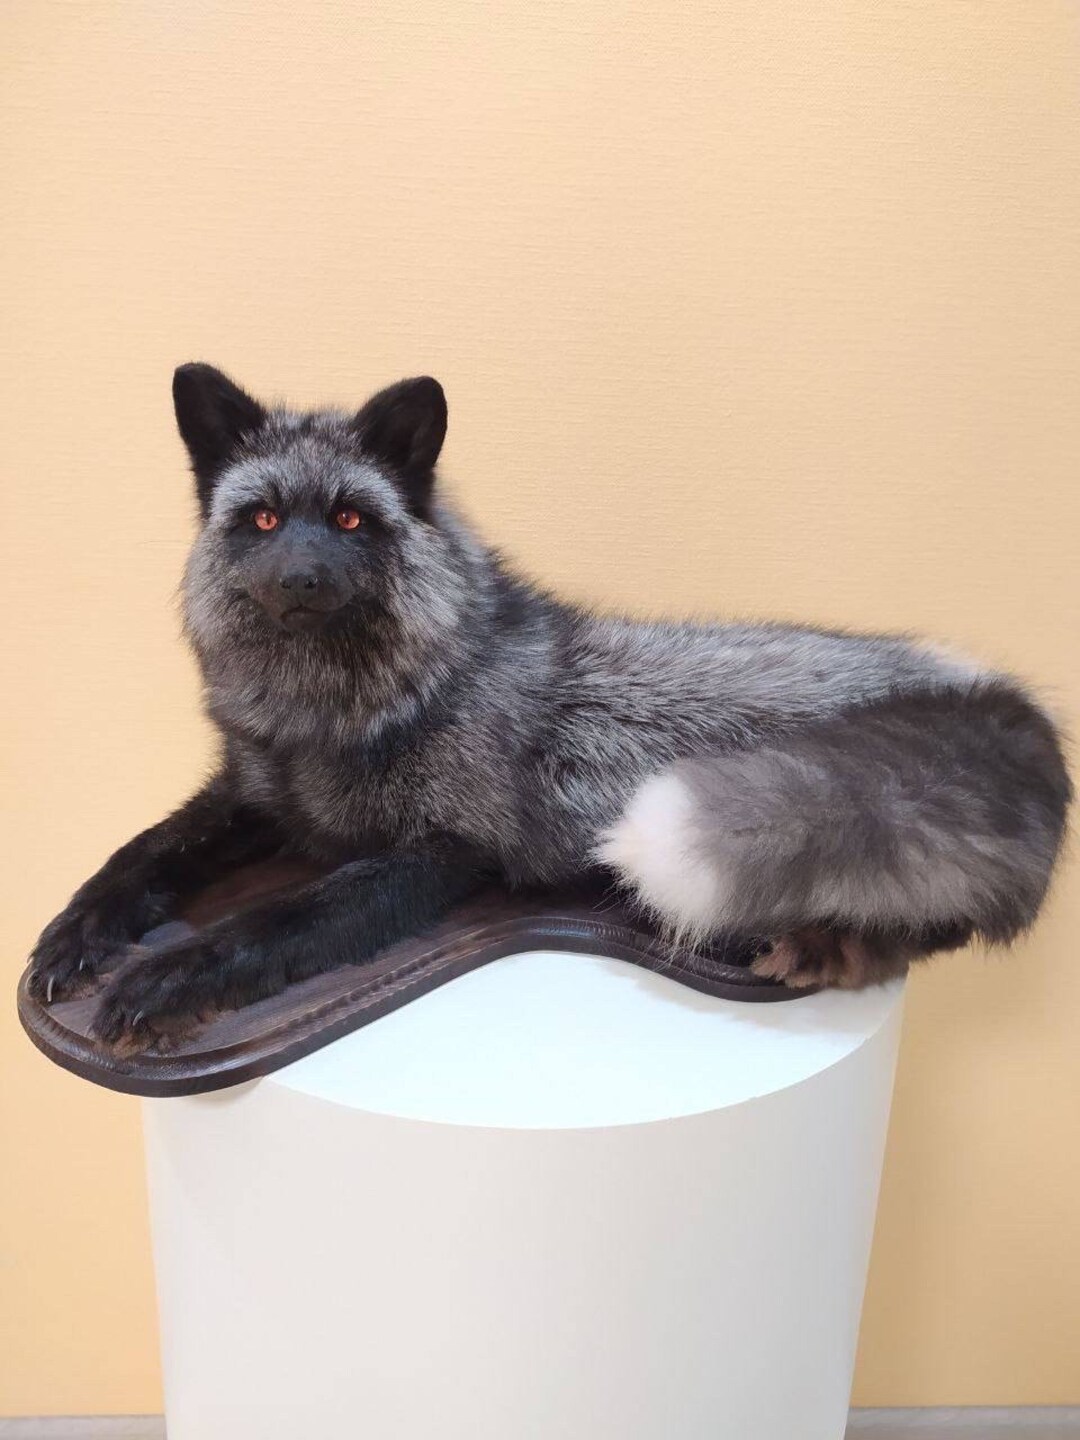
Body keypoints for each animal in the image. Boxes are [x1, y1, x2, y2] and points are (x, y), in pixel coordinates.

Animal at [27, 365, 1071, 1047]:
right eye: (266, 520)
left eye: (352, 519)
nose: (302, 581)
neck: (324, 722)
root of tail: (999, 693)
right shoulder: (251, 798)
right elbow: (144, 852)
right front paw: (77, 934)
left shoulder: (446, 852)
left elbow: (277, 920)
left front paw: (166, 974)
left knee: (936, 926)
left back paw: (823, 944)